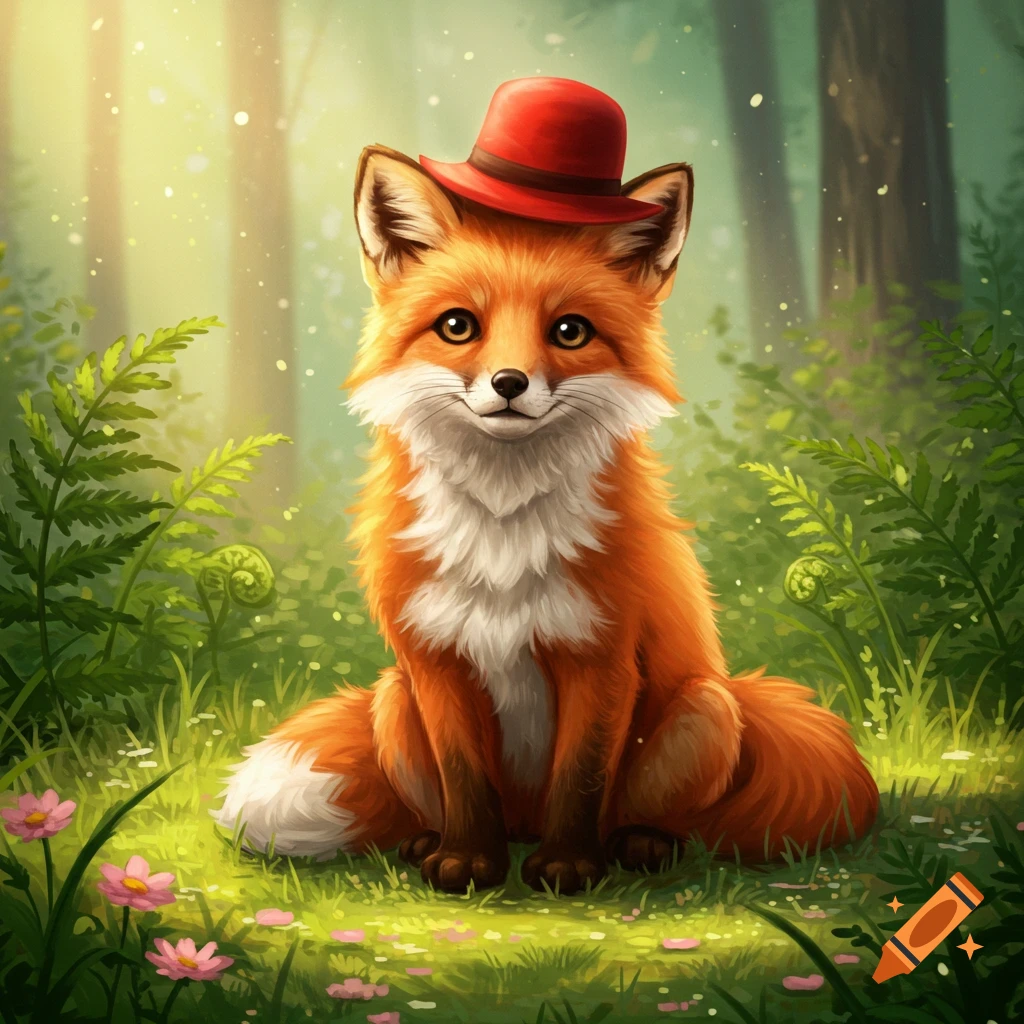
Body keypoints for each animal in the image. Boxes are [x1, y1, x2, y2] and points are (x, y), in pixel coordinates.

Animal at [213, 135, 879, 895]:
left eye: (569, 331)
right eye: (457, 326)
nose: (509, 383)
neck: (503, 530)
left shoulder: (602, 656)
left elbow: (580, 776)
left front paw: (567, 867)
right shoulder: (435, 659)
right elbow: (464, 778)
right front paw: (467, 861)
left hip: (704, 710)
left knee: (655, 814)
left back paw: (640, 845)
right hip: (393, 699)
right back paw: (431, 842)